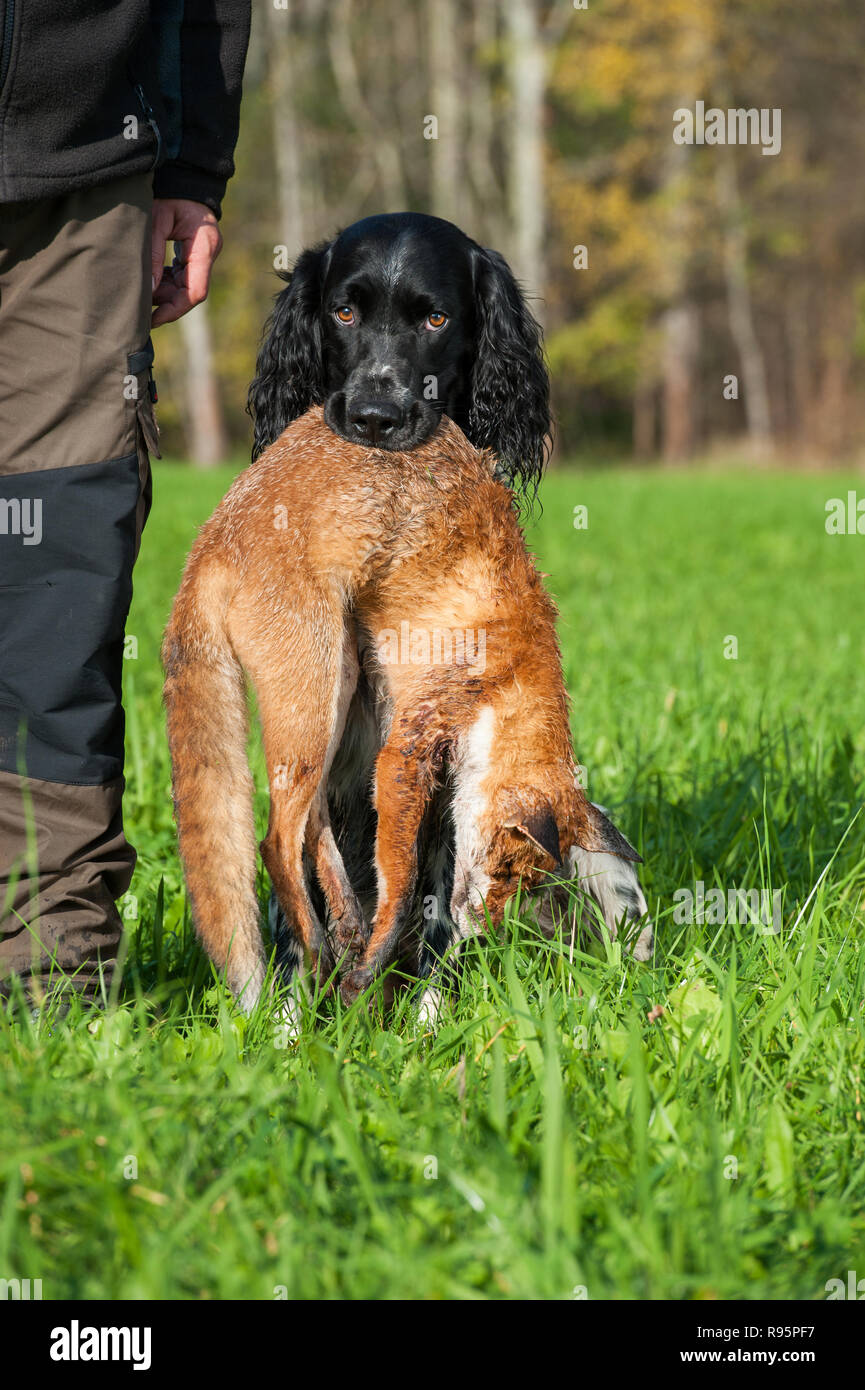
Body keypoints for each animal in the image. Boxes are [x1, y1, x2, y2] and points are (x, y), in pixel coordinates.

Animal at [162, 406, 652, 1024]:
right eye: (505, 869)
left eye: (526, 886)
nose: (480, 932)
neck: (509, 669)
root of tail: (209, 537)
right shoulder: (405, 753)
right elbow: (400, 889)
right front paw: (373, 965)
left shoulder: (439, 779)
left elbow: (421, 891)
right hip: (317, 689)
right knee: (274, 842)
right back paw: (320, 946)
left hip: (341, 684)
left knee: (311, 822)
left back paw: (346, 922)